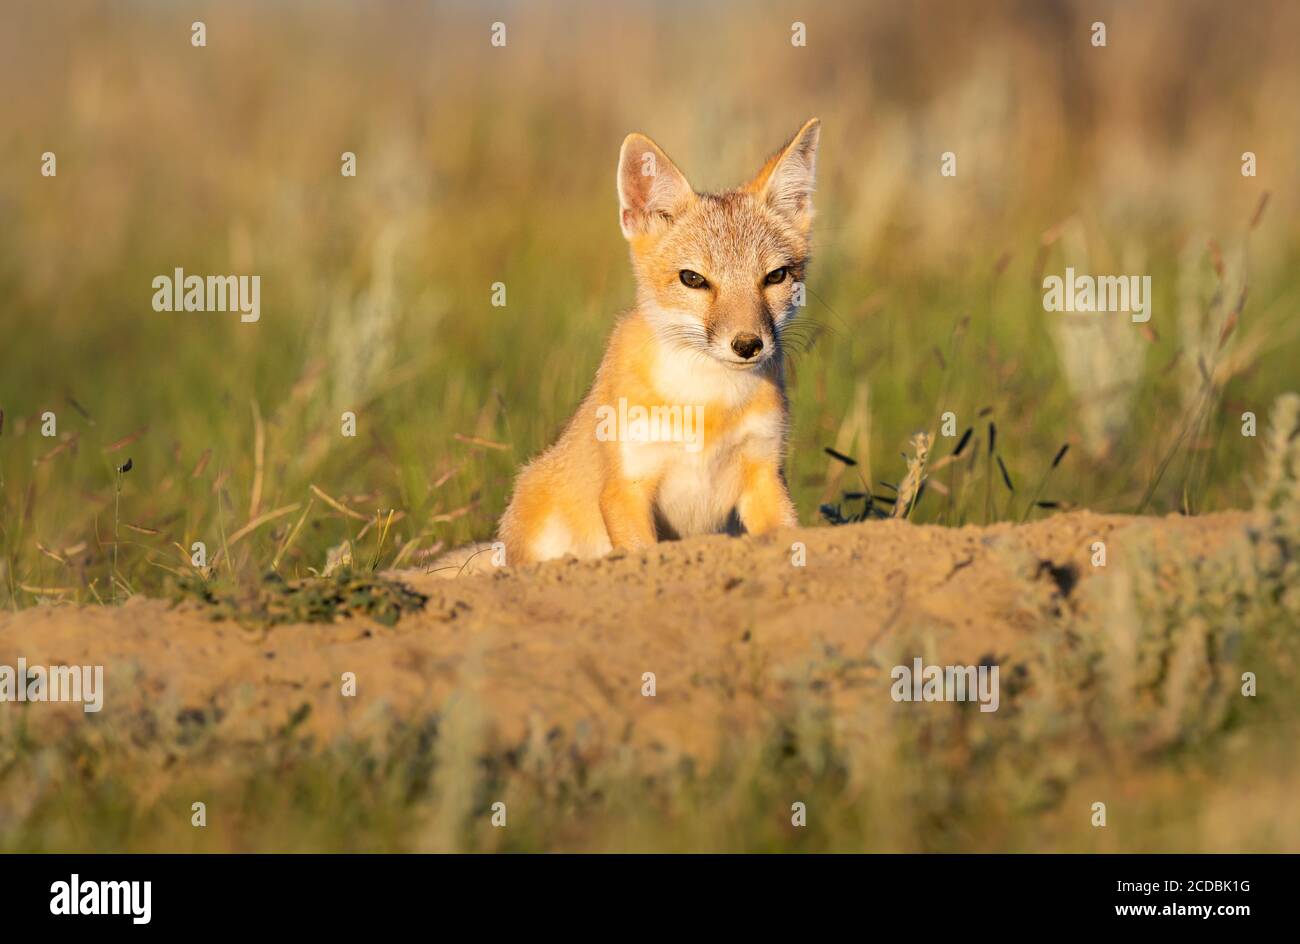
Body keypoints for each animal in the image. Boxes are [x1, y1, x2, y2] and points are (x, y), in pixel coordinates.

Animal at [440, 118, 821, 574]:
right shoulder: (627, 486)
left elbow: (791, 535)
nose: (747, 344)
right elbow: (643, 553)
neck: (709, 405)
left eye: (776, 276)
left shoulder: (765, 471)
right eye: (693, 279)